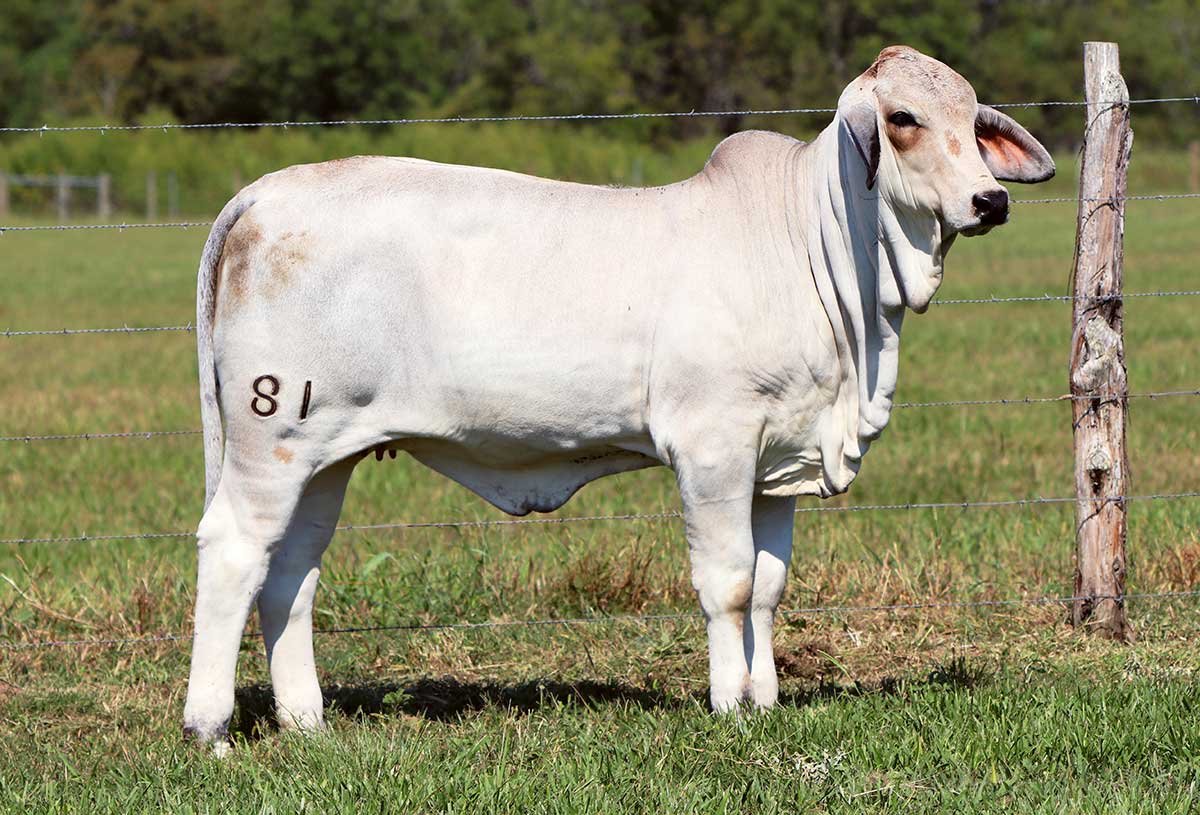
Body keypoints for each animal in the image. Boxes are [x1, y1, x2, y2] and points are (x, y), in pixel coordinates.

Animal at [182, 45, 1054, 749]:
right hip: (269, 440)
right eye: (903, 117)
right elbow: (729, 582)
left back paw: (307, 721)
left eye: (974, 117)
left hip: (326, 455)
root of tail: (263, 193)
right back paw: (209, 726)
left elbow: (770, 585)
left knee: (291, 572)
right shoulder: (712, 446)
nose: (991, 200)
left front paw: (767, 697)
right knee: (232, 552)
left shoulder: (777, 461)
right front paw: (730, 702)